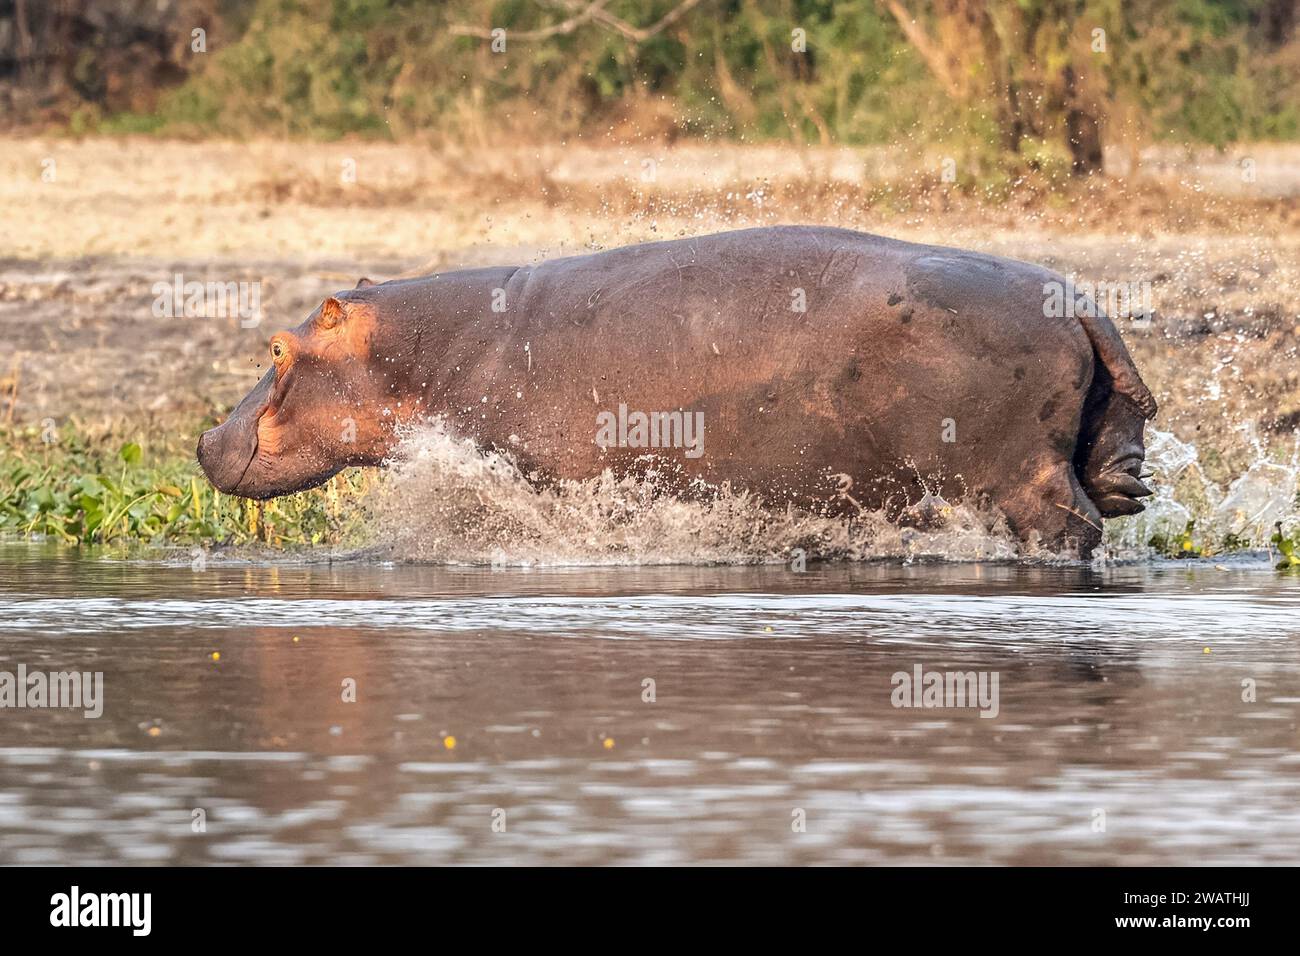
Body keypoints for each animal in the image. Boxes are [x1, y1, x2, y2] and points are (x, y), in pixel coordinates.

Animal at [197, 225, 1156, 557]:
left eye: (277, 346)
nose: (204, 437)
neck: (425, 348)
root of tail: (1083, 305)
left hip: (1013, 473)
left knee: (1065, 525)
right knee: (1110, 496)